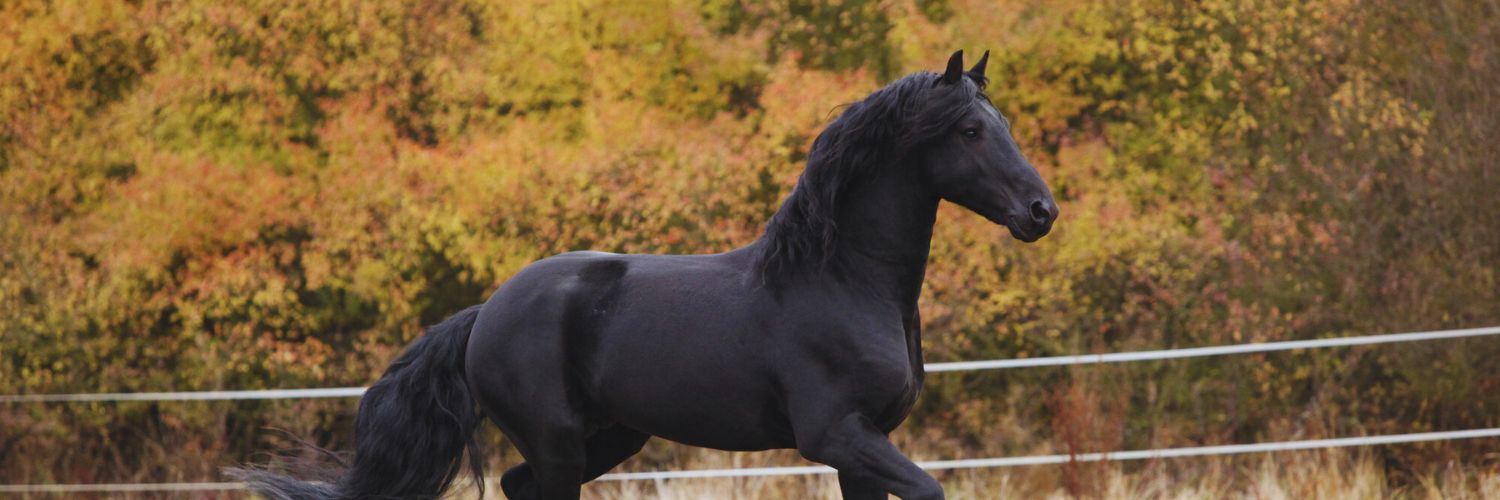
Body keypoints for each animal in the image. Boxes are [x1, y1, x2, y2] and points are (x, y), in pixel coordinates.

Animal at [234, 49, 1057, 500]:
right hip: (561, 445)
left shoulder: (866, 444)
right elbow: (929, 486)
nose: (1041, 211)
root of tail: (486, 313)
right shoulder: (836, 435)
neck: (844, 284)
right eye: (970, 130)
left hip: (610, 439)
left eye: (1004, 125)